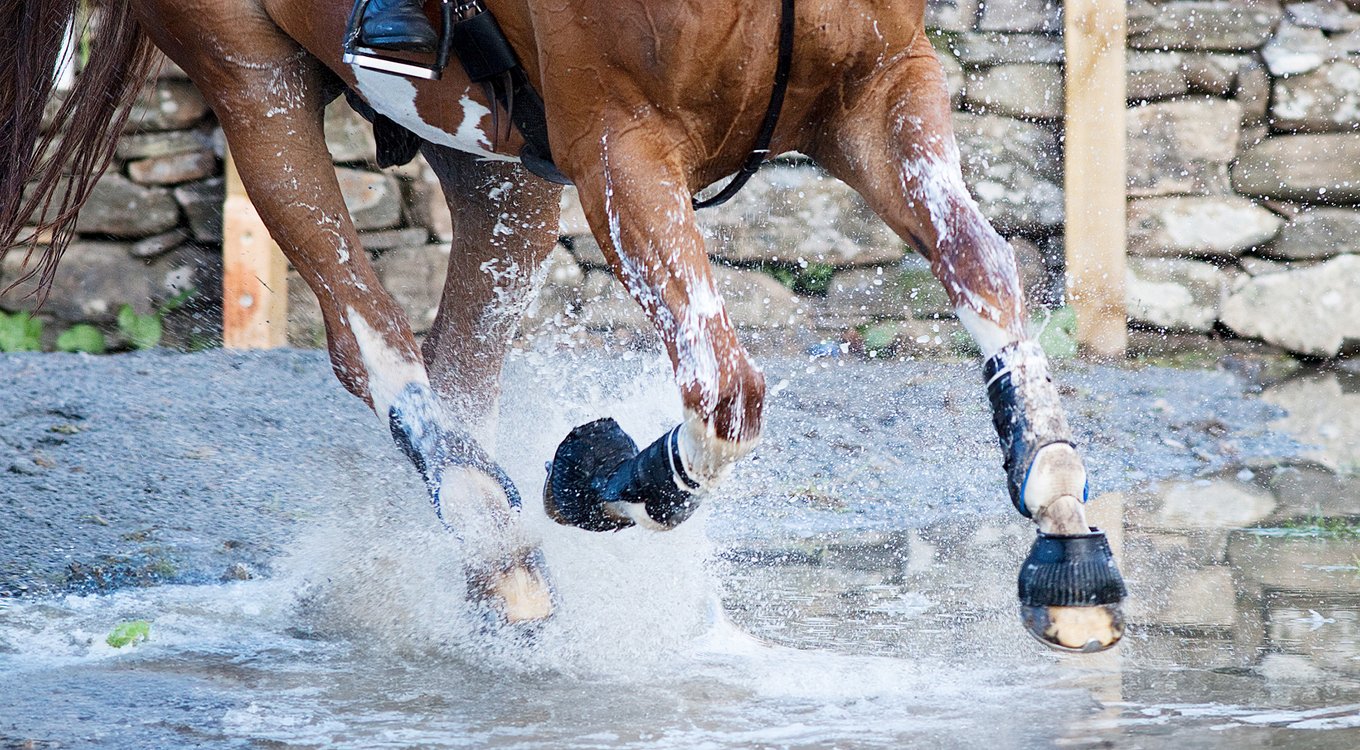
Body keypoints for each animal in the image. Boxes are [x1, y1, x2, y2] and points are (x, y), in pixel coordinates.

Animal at [2, 0, 1126, 651]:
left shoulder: (879, 86)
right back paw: (499, 553)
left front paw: (1060, 522)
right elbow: (724, 388)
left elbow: (982, 267)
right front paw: (603, 476)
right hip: (254, 81)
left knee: (457, 358)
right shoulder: (619, 146)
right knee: (374, 342)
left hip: (493, 155)